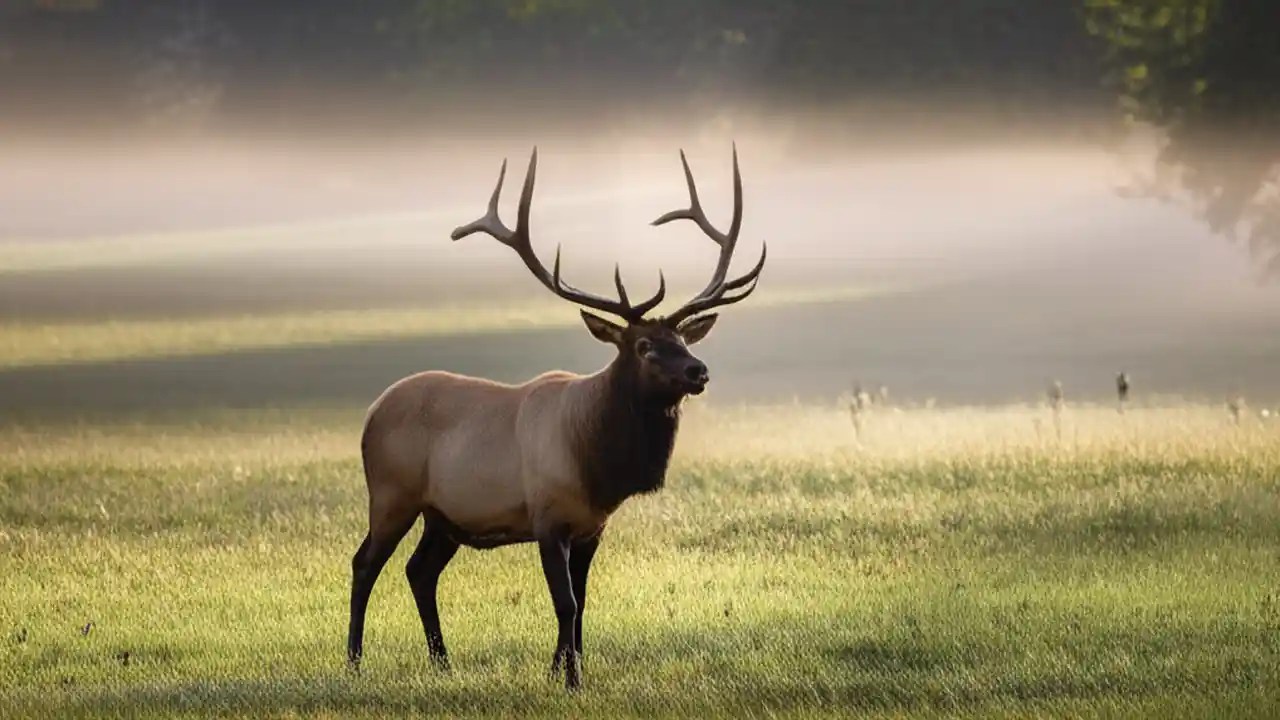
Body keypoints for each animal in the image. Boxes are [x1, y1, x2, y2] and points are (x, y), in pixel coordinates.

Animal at [346, 147, 766, 691]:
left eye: (684, 339)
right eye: (644, 346)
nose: (700, 371)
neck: (598, 466)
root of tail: (371, 411)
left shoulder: (592, 527)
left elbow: (581, 603)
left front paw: (564, 668)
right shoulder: (548, 518)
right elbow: (564, 603)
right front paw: (570, 680)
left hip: (444, 515)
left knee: (420, 570)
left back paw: (442, 661)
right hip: (392, 493)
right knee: (364, 563)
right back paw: (353, 661)